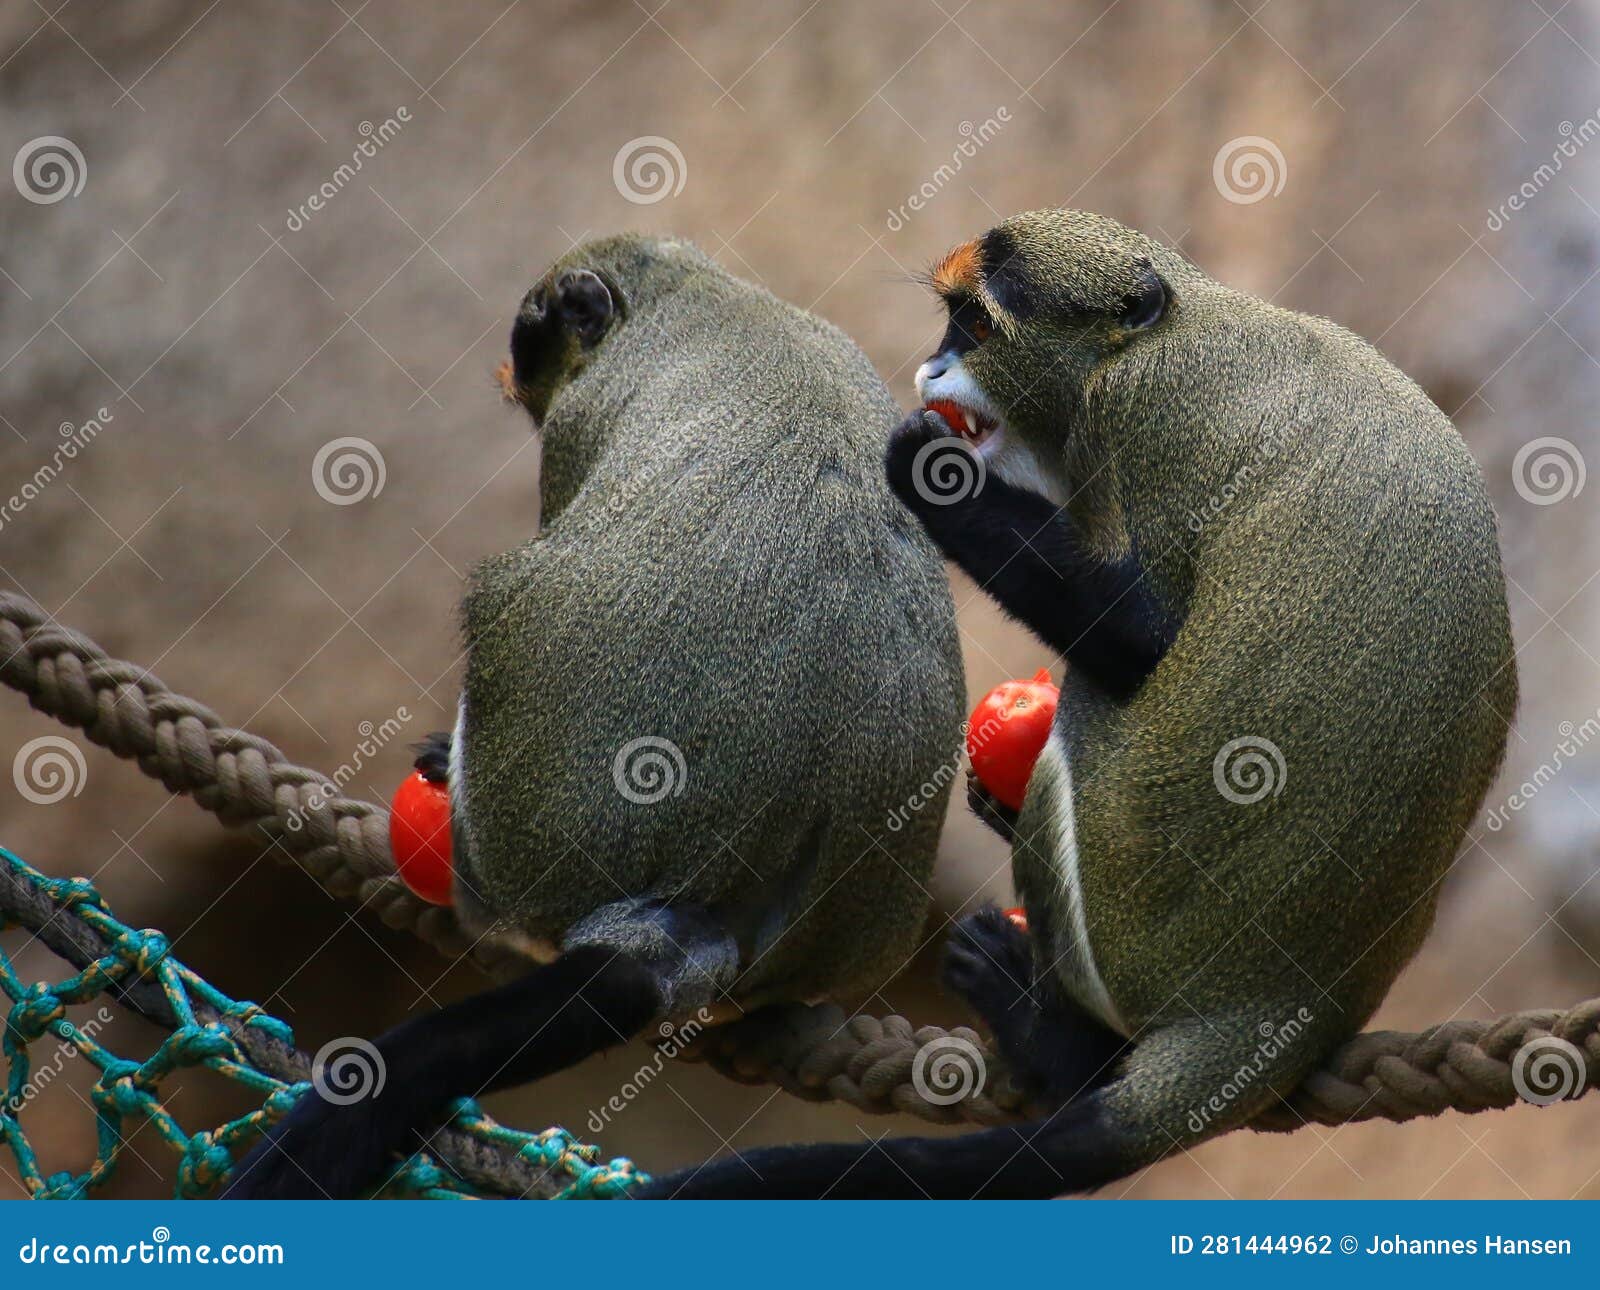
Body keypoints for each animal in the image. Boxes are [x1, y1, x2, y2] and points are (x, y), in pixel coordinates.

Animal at [222, 234, 966, 1199]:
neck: (699, 290)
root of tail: (704, 923)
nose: (515, 359)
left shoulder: (577, 423)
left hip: (535, 841)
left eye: (536, 324)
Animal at [640, 208, 1518, 1199]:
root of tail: (1285, 1003)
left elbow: (1143, 639)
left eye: (975, 326)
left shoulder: (1149, 417)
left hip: (1132, 916)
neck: (1163, 325)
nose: (930, 373)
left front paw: (930, 468)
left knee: (1086, 727)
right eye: (948, 322)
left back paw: (1053, 1046)